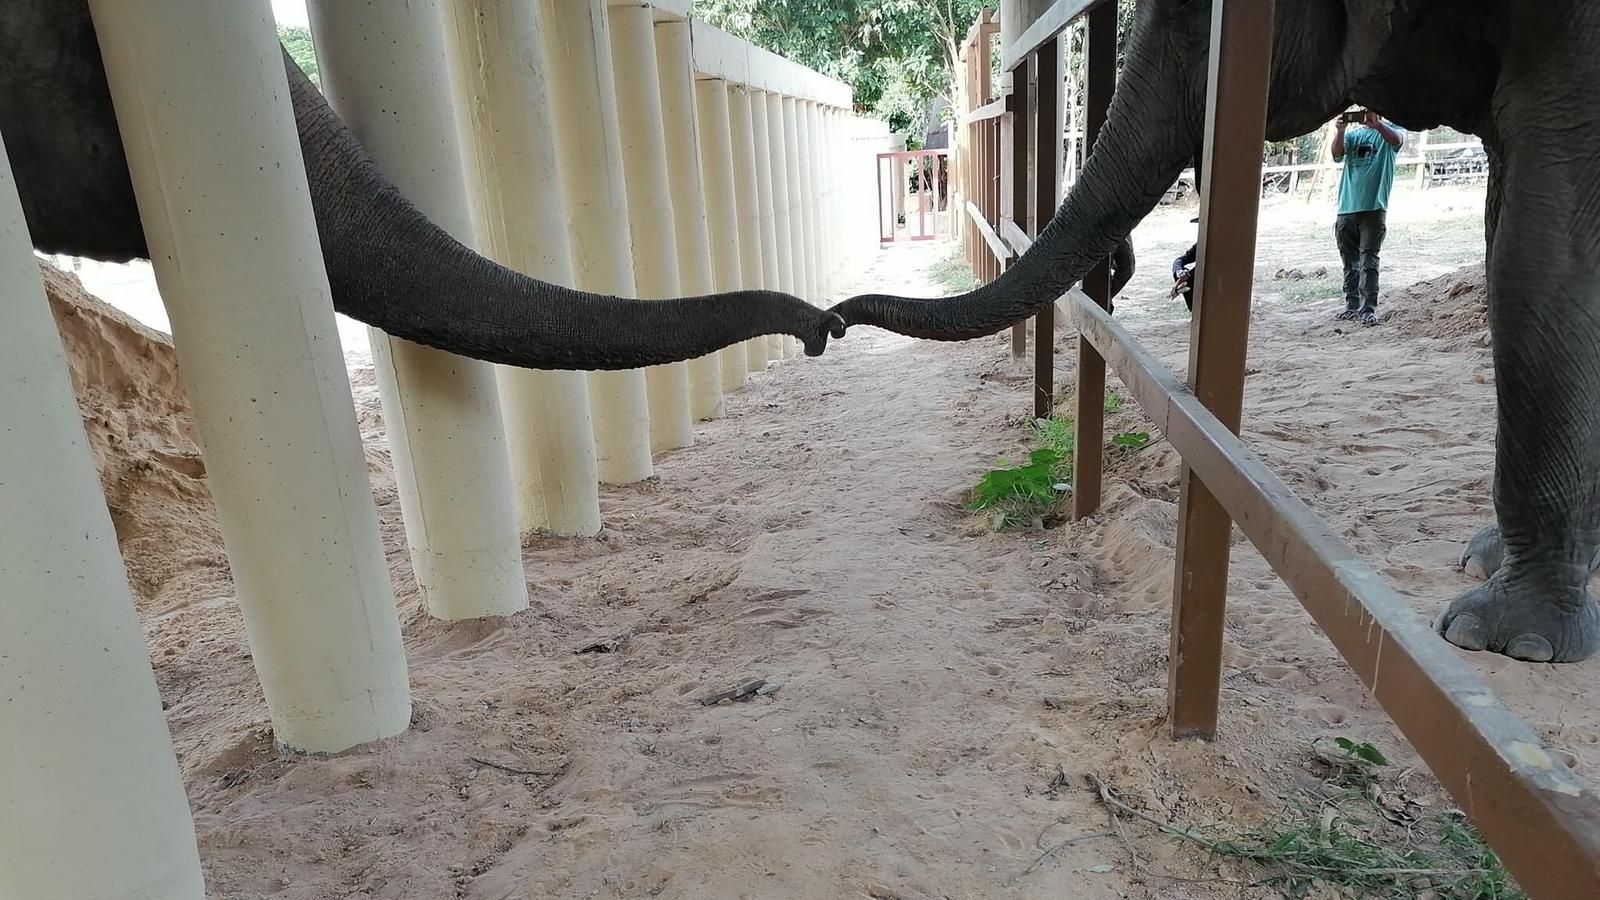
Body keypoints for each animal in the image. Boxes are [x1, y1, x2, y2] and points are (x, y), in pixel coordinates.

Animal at [832, 0, 1600, 663]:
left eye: (1187, 16)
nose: (831, 321)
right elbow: (1511, 230)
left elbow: (1543, 251)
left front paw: (1501, 639)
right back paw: (1485, 556)